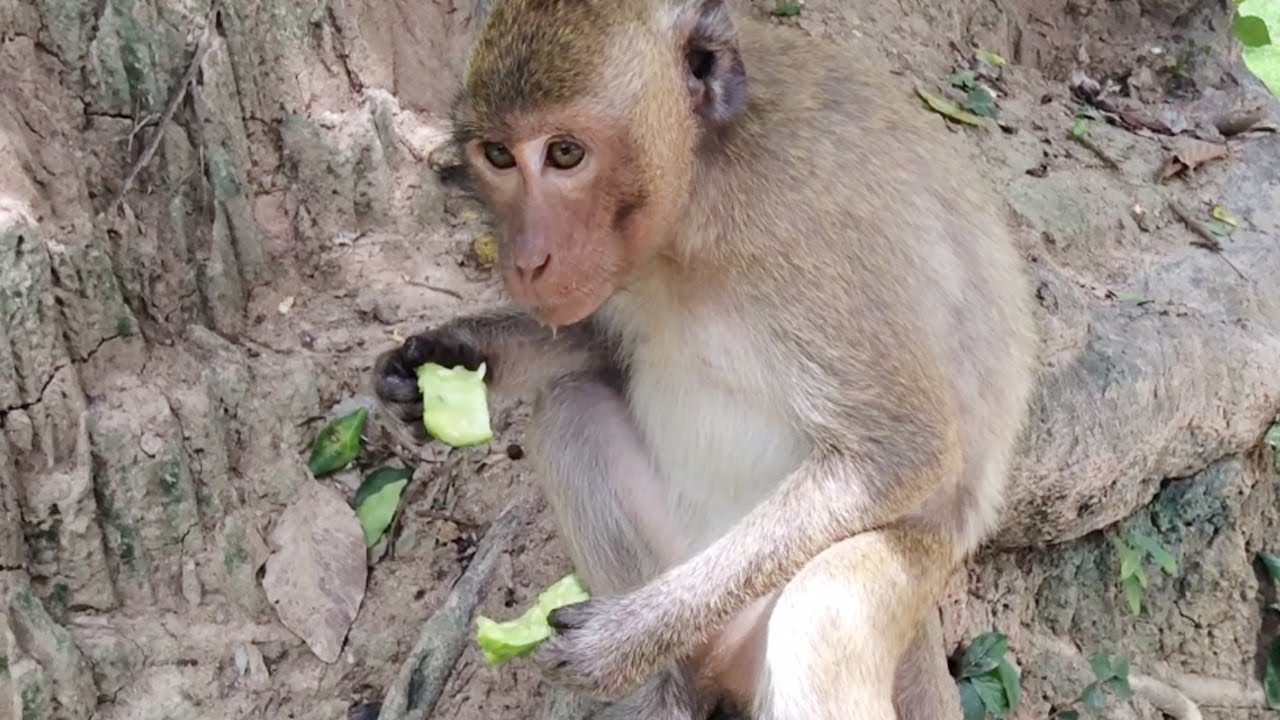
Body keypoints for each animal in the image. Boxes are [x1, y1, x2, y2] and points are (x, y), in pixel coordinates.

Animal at [373, 0, 1038, 716]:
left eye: (565, 153)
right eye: (498, 155)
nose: (526, 261)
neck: (699, 188)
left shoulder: (806, 232)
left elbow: (903, 453)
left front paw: (621, 642)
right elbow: (596, 340)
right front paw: (442, 357)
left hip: (895, 582)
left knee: (823, 606)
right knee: (570, 407)